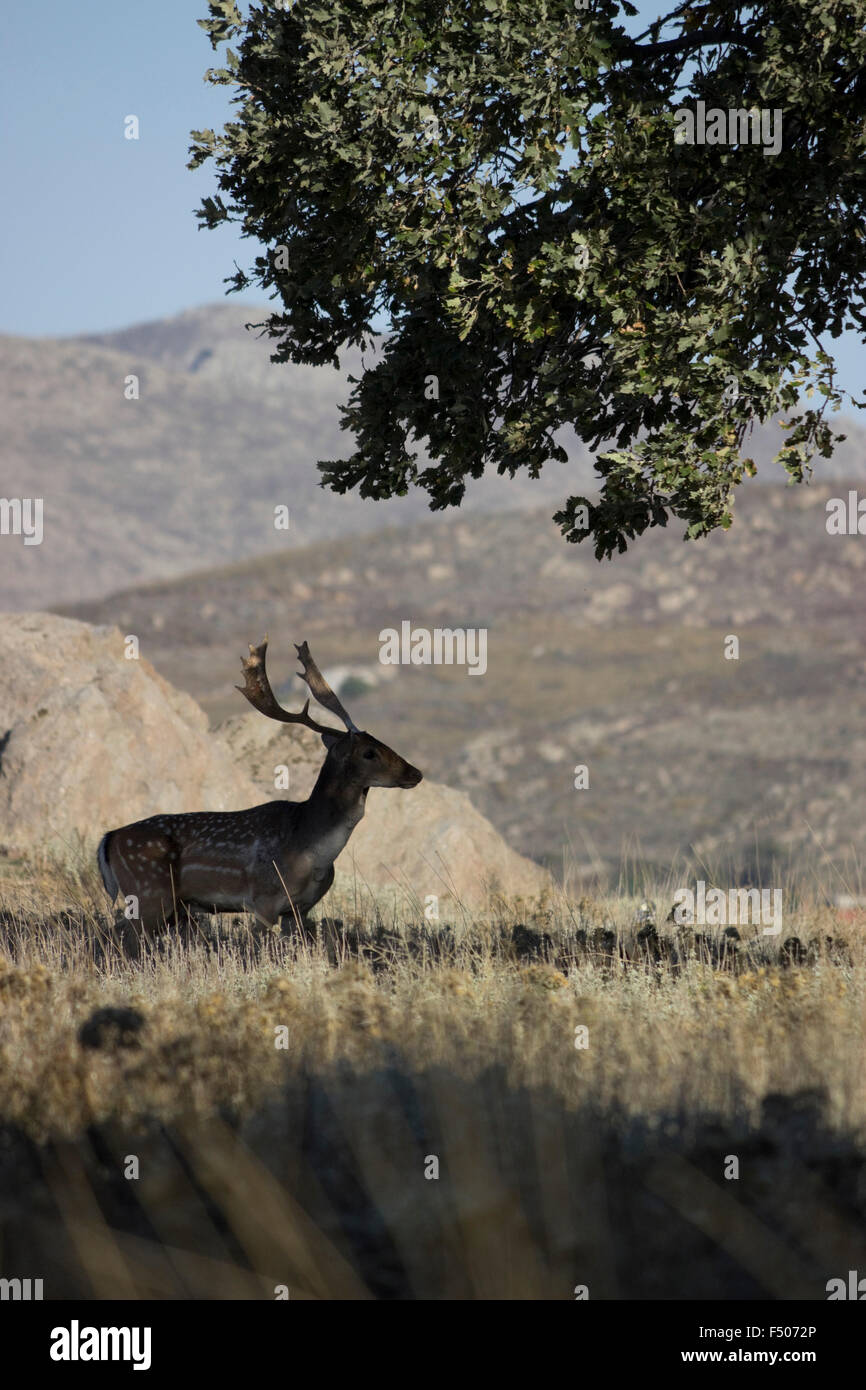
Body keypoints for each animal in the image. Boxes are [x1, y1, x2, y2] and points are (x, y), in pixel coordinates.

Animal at [97, 638, 423, 946]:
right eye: (369, 753)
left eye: (381, 741)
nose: (415, 773)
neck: (310, 850)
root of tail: (108, 838)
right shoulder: (263, 901)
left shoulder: (300, 909)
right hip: (148, 891)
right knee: (120, 936)